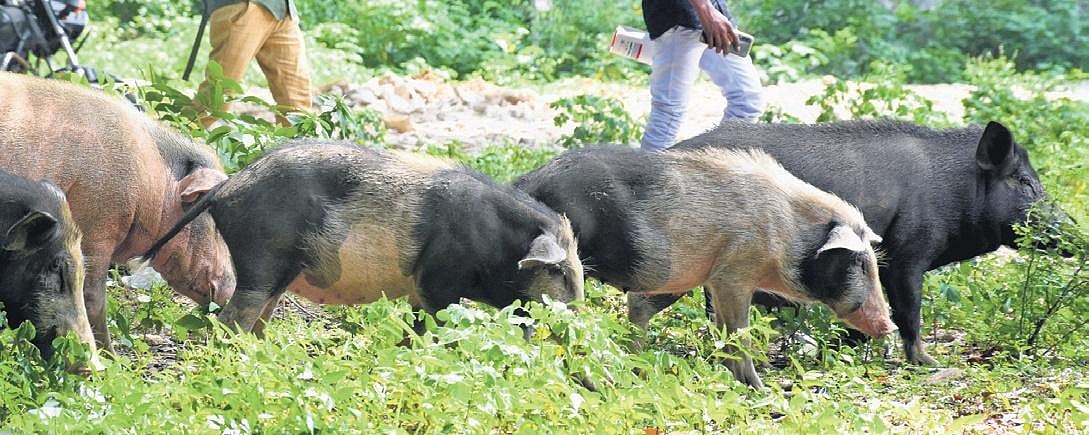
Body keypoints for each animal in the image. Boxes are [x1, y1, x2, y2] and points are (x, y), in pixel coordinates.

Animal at [0, 73, 236, 350]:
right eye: (215, 221)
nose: (231, 289)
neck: (149, 182)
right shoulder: (97, 226)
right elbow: (93, 296)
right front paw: (111, 354)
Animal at [139, 141, 584, 336]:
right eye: (560, 272)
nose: (578, 312)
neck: (497, 245)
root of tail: (226, 187)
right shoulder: (439, 281)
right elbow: (440, 328)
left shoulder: (420, 292)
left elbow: (415, 332)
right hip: (261, 255)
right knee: (234, 317)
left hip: (277, 271)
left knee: (258, 316)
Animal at [515, 146, 895, 388]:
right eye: (859, 263)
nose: (888, 325)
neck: (787, 232)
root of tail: (529, 180)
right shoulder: (734, 273)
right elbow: (739, 332)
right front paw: (759, 388)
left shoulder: (704, 277)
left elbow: (712, 327)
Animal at [649, 119, 1062, 365]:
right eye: (1025, 181)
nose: (1070, 231)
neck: (954, 192)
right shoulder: (908, 254)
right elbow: (908, 310)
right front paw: (928, 364)